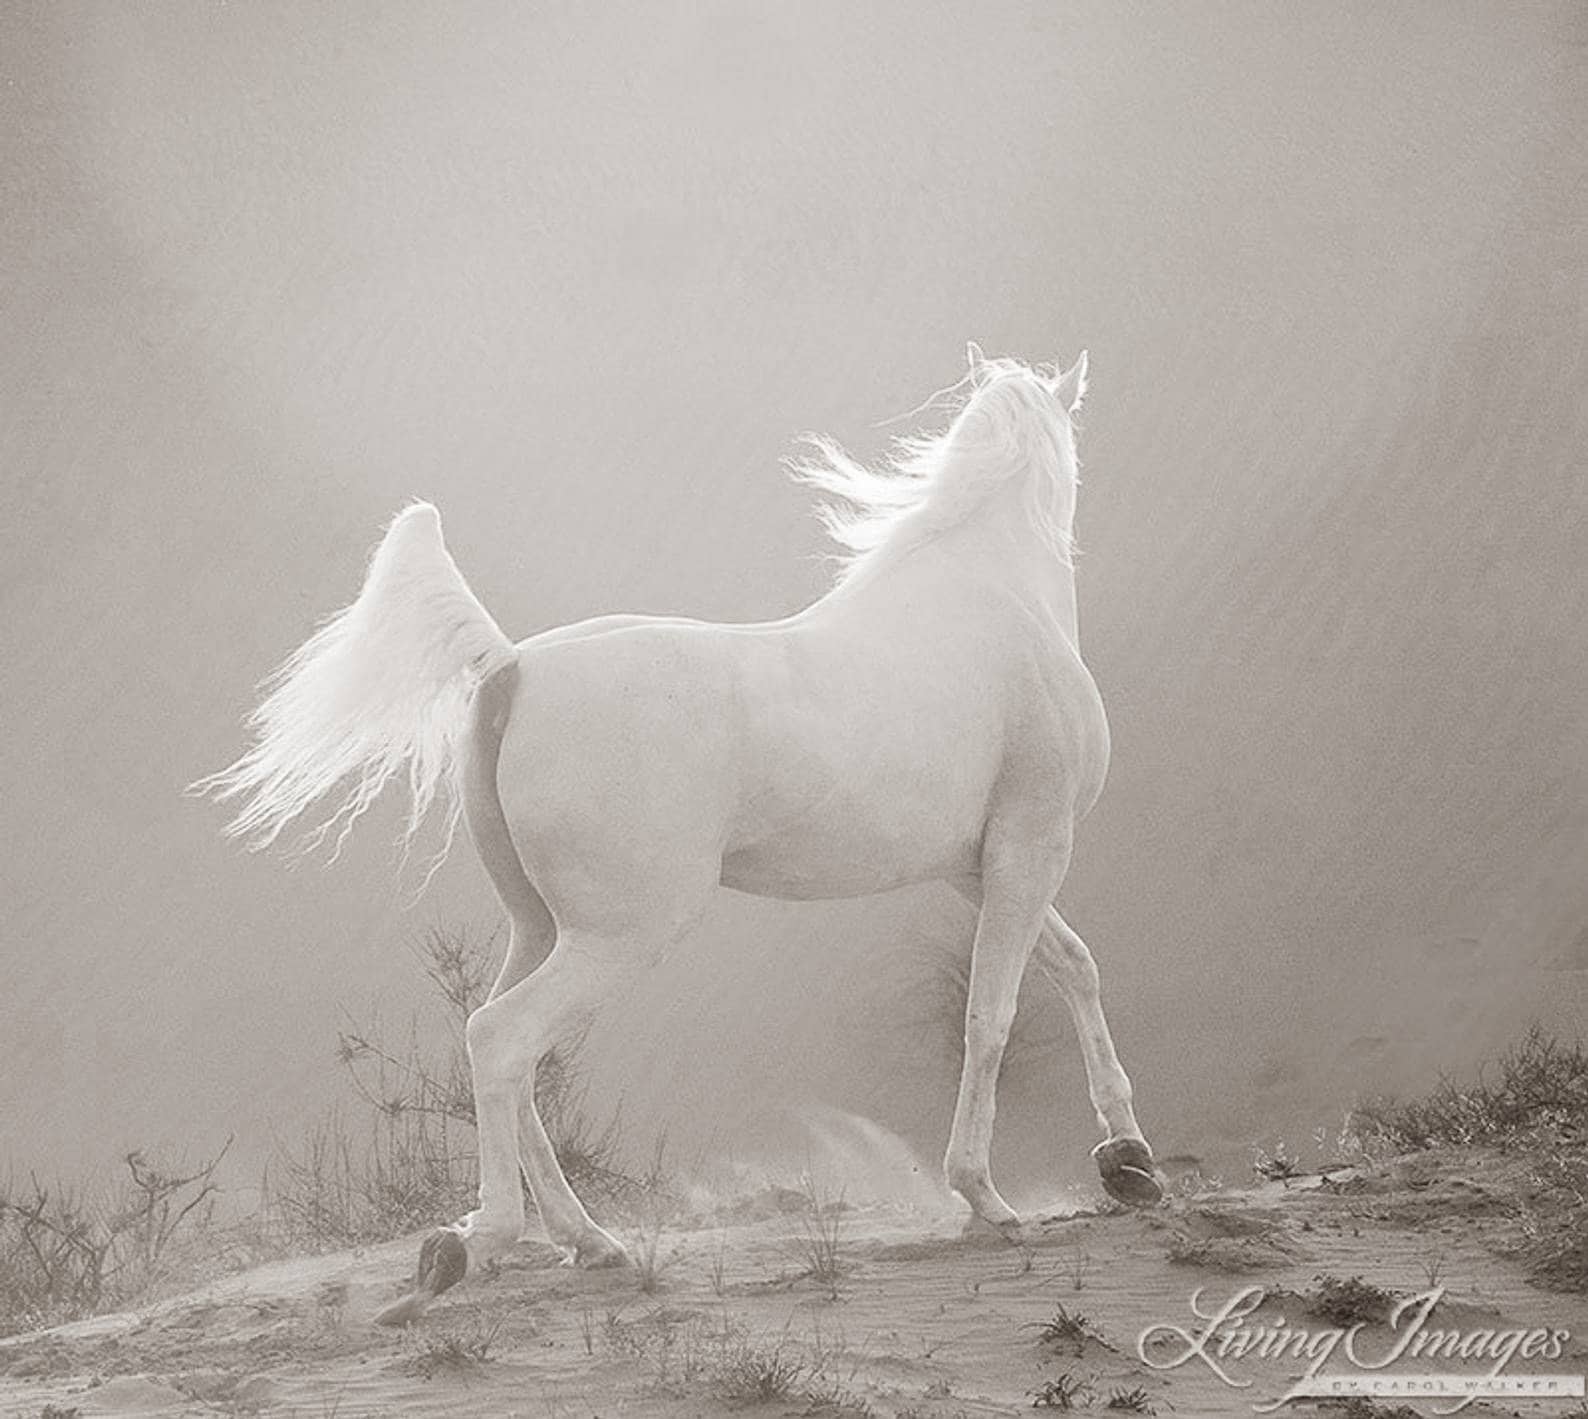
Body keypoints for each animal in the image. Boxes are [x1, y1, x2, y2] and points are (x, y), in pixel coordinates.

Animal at [194, 344, 1162, 1322]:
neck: (995, 598)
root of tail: (513, 666)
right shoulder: (1029, 848)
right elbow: (992, 1014)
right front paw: (990, 1197)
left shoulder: (980, 866)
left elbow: (1073, 967)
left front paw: (1130, 1159)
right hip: (625, 932)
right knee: (504, 1038)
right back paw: (473, 1247)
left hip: (540, 925)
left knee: (501, 1048)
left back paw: (584, 1240)